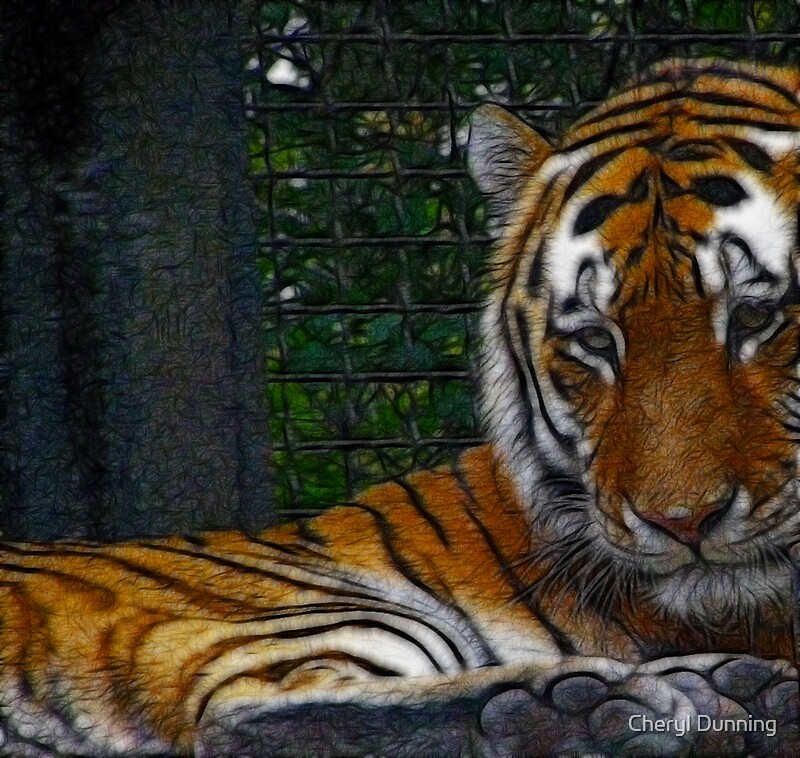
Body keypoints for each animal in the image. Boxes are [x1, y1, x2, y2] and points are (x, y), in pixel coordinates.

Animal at [1, 58, 799, 755]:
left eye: (757, 318)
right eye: (596, 341)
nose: (683, 523)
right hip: (313, 608)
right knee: (242, 715)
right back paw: (603, 708)